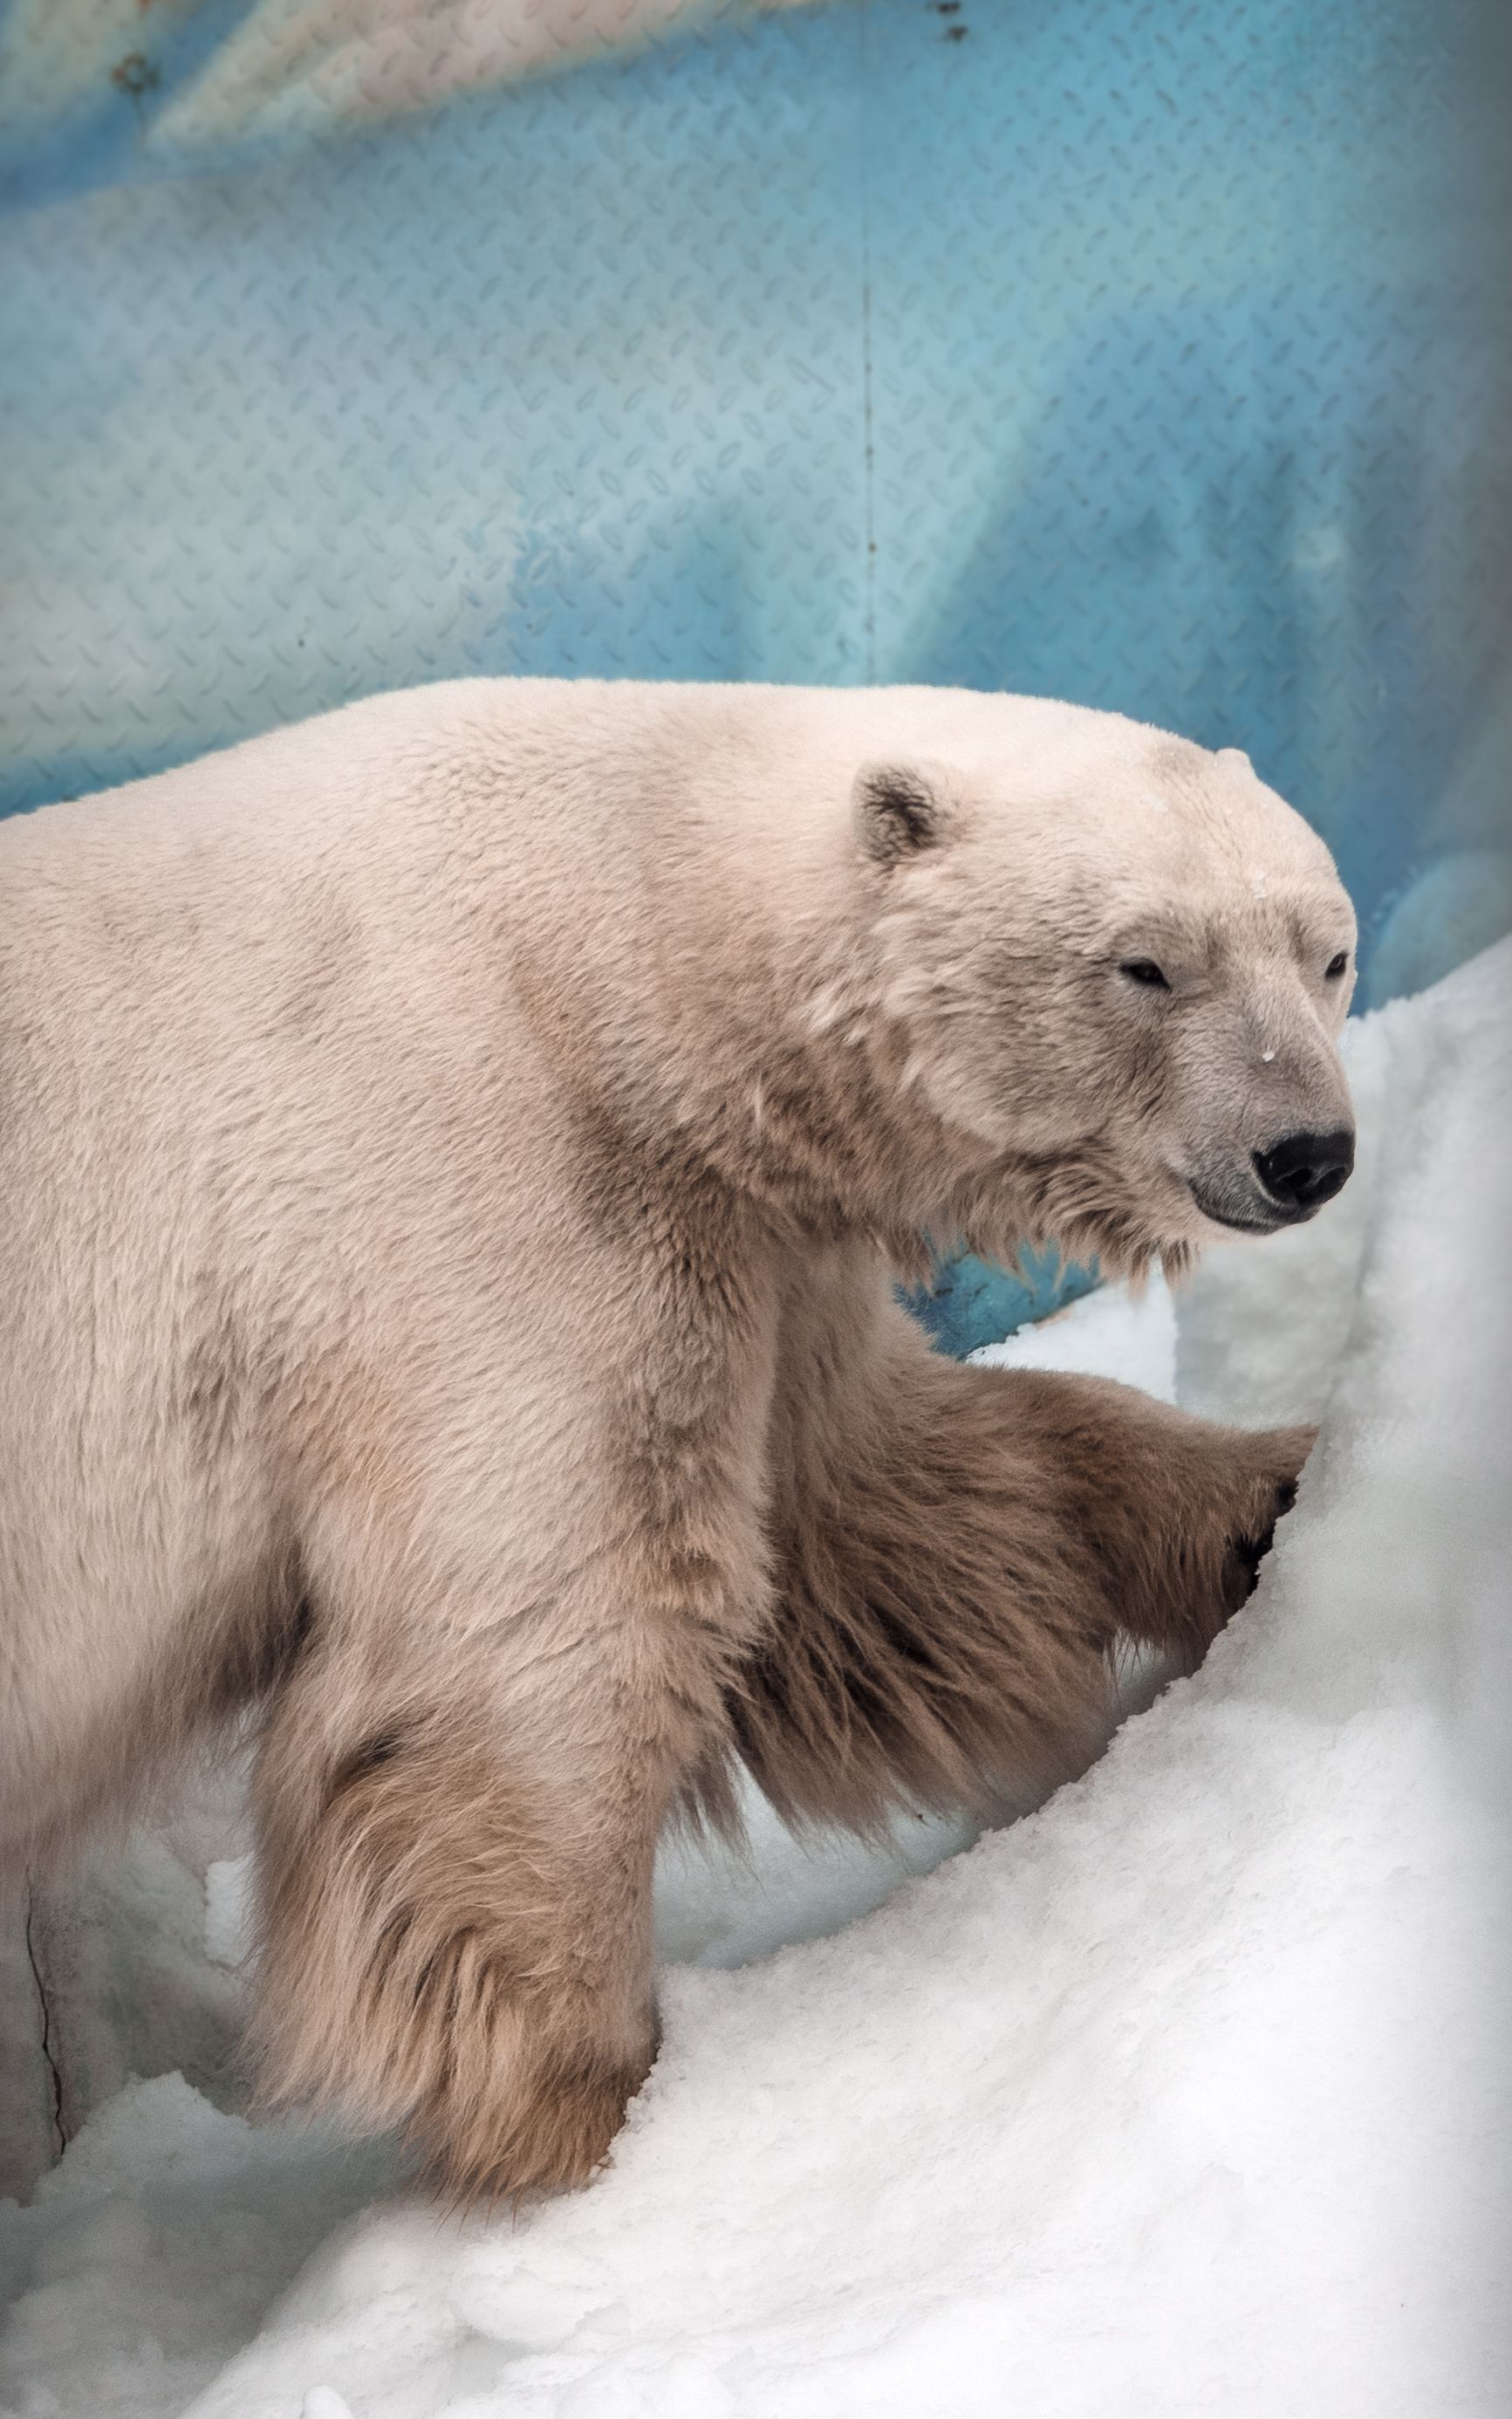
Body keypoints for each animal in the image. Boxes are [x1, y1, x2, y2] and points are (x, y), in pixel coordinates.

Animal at [0, 678, 1357, 2202]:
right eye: (1144, 965)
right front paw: (590, 2119)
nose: (1308, 1153)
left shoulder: (746, 1227)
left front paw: (1275, 1490)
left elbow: (898, 1512)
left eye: (1327, 956)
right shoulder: (490, 1188)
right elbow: (549, 1642)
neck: (617, 925)